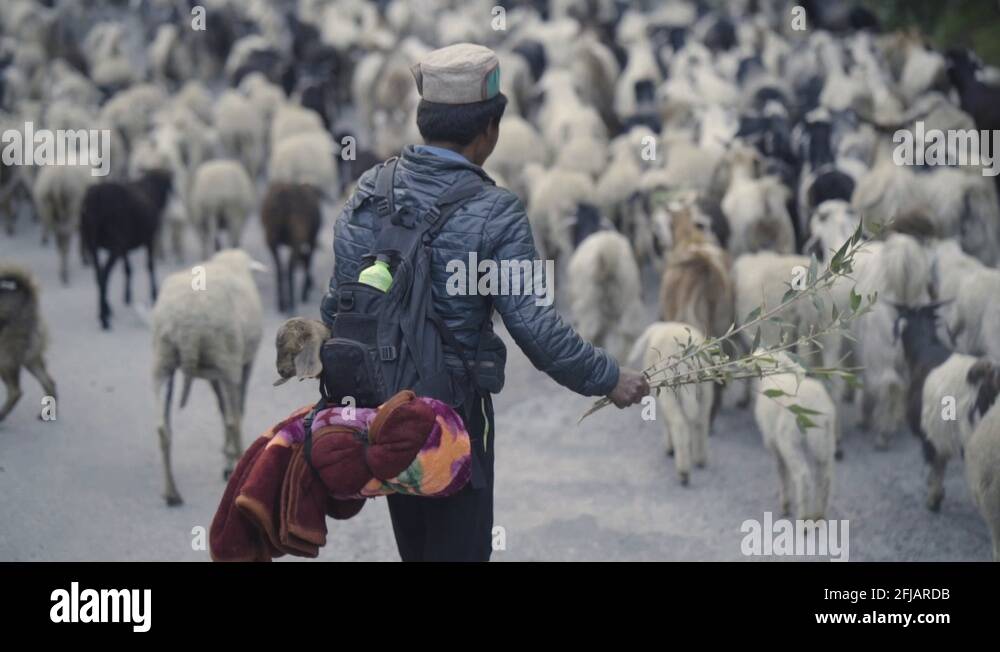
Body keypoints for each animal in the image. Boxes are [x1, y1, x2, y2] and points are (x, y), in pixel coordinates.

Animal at [80, 170, 173, 330]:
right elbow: (150, 265)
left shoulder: (124, 246)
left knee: (98, 275)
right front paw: (154, 293)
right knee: (104, 275)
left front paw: (127, 296)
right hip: (114, 244)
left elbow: (128, 269)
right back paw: (104, 319)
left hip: (92, 245)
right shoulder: (149, 238)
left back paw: (106, 310)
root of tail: (95, 199)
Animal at [151, 249, 266, 506]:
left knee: (163, 428)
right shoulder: (244, 364)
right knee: (235, 419)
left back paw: (171, 493)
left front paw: (226, 458)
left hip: (163, 360)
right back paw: (241, 462)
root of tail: (188, 325)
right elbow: (236, 410)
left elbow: (222, 409)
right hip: (227, 359)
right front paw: (229, 460)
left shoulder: (213, 374)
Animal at [261, 182, 323, 314]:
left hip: (271, 236)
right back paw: (292, 305)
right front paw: (305, 291)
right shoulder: (311, 239)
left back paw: (282, 304)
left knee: (279, 268)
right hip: (297, 234)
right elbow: (309, 261)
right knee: (290, 267)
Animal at [629, 321, 714, 486]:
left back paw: (683, 471)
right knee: (700, 422)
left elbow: (667, 421)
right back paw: (700, 459)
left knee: (679, 425)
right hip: (705, 390)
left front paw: (669, 448)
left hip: (671, 391)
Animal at [754, 351, 838, 520]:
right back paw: (819, 516)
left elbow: (781, 470)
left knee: (803, 476)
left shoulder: (773, 444)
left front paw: (785, 504)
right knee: (824, 478)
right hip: (825, 443)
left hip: (790, 440)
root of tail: (818, 408)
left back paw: (803, 517)